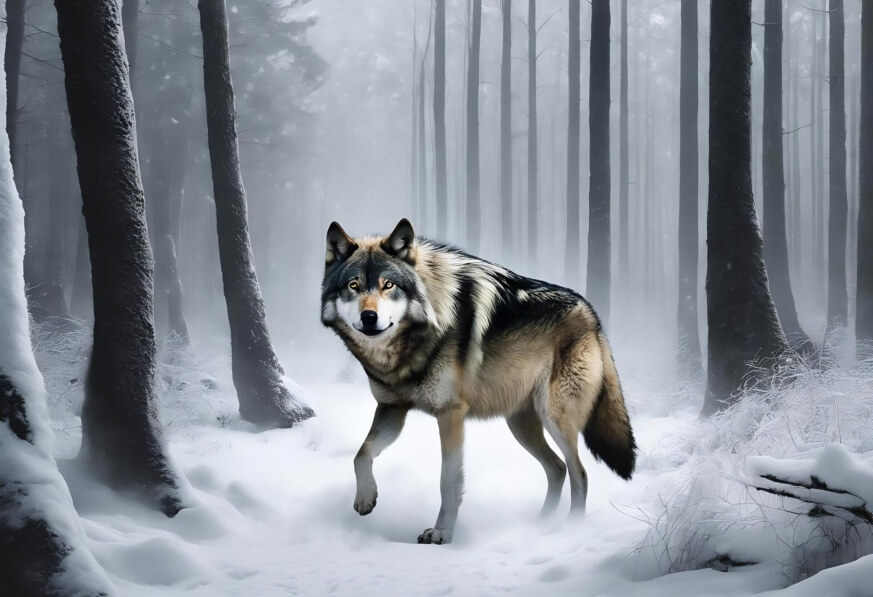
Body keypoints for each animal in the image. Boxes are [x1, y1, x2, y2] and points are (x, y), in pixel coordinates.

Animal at [321, 218, 636, 544]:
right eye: (353, 285)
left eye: (388, 285)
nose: (369, 317)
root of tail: (593, 315)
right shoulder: (392, 409)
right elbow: (361, 454)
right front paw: (365, 499)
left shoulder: (451, 414)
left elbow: (448, 479)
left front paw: (442, 533)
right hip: (521, 426)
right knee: (558, 468)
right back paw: (542, 525)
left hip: (556, 419)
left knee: (579, 473)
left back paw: (569, 529)